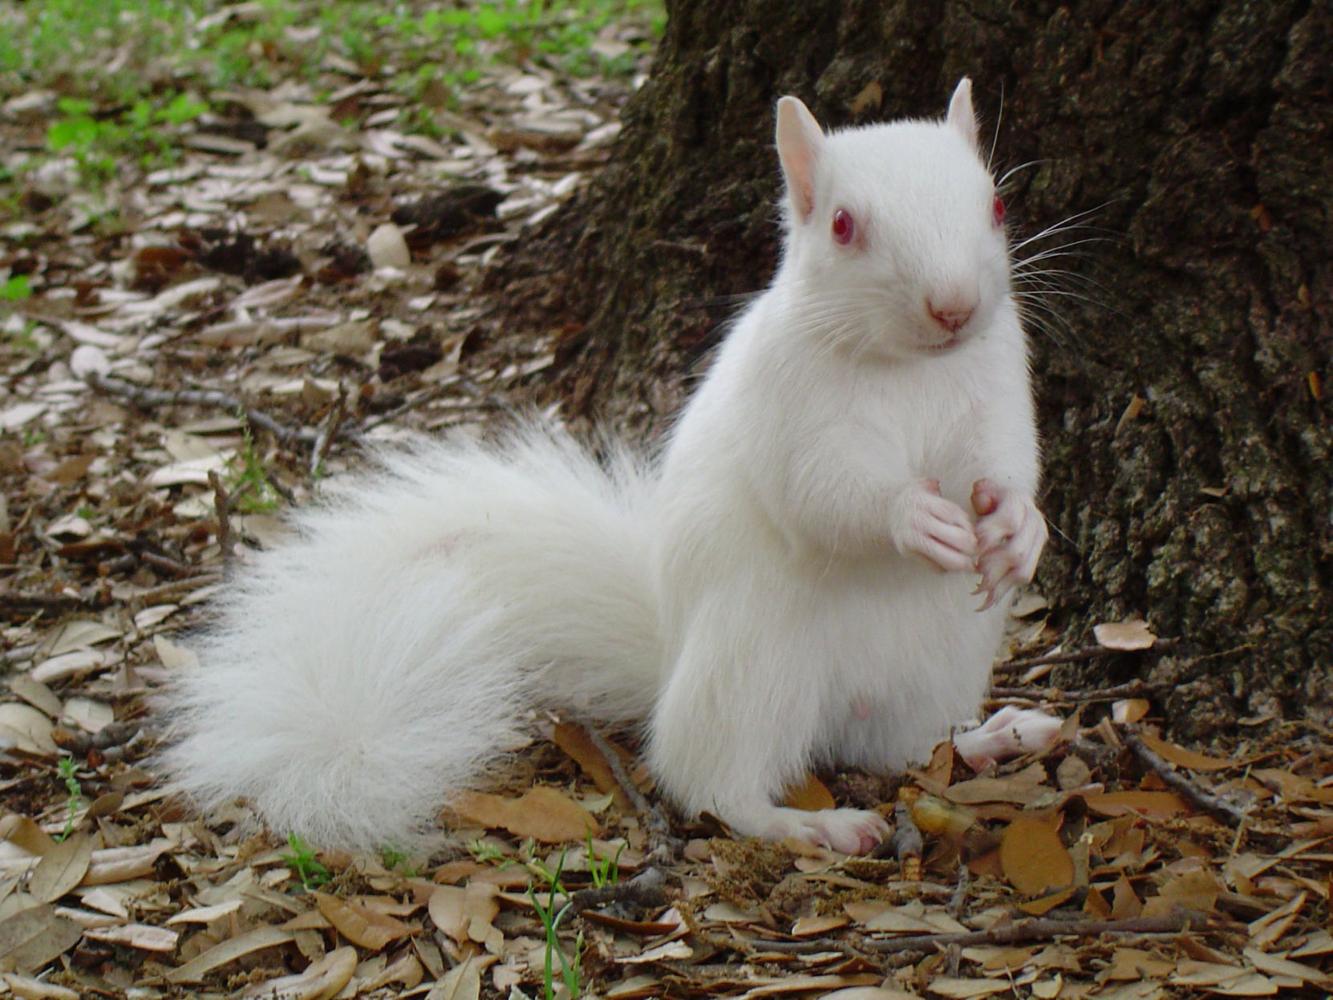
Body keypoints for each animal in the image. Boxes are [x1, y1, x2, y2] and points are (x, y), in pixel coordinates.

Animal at [159, 78, 1052, 856]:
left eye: (996, 204)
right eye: (841, 225)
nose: (952, 308)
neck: (911, 369)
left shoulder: (998, 388)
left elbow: (1011, 461)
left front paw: (1018, 529)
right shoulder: (792, 411)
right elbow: (822, 493)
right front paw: (915, 517)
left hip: (941, 667)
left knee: (903, 751)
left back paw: (990, 739)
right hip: (753, 666)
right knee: (707, 781)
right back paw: (809, 825)